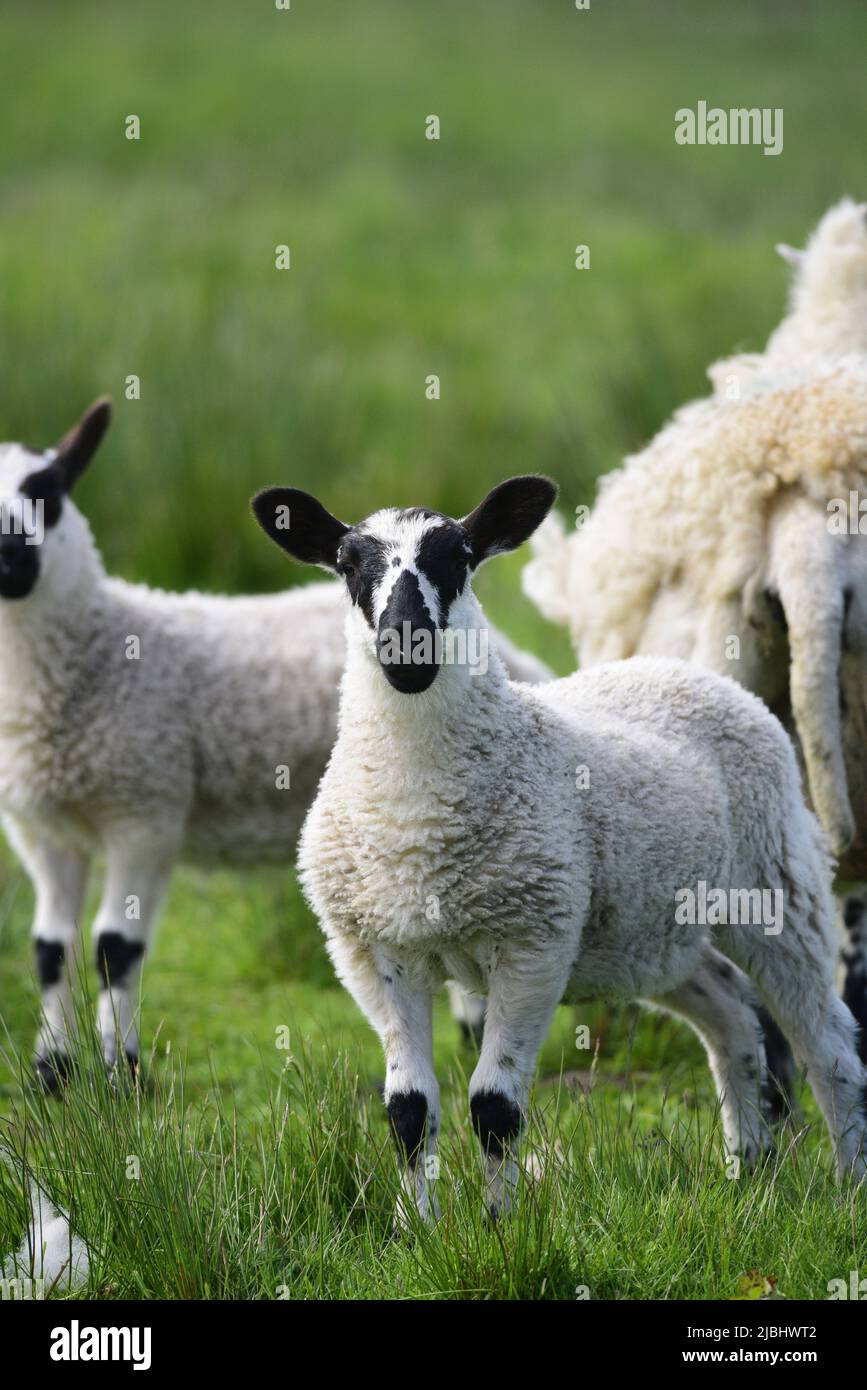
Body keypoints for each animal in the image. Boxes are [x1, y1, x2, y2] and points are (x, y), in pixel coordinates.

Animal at [0, 400, 549, 1090]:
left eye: (45, 493)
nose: (7, 558)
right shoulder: (40, 828)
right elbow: (52, 950)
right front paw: (52, 1073)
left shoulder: (144, 812)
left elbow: (113, 950)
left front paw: (122, 1075)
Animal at [252, 474, 867, 1223]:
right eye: (346, 562)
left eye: (459, 556)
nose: (407, 648)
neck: (416, 819)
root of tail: (691, 673)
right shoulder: (371, 950)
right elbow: (407, 1110)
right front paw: (416, 1228)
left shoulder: (532, 942)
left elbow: (493, 1106)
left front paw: (498, 1226)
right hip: (647, 932)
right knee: (729, 1015)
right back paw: (748, 1170)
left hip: (775, 883)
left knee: (828, 1047)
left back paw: (849, 1185)